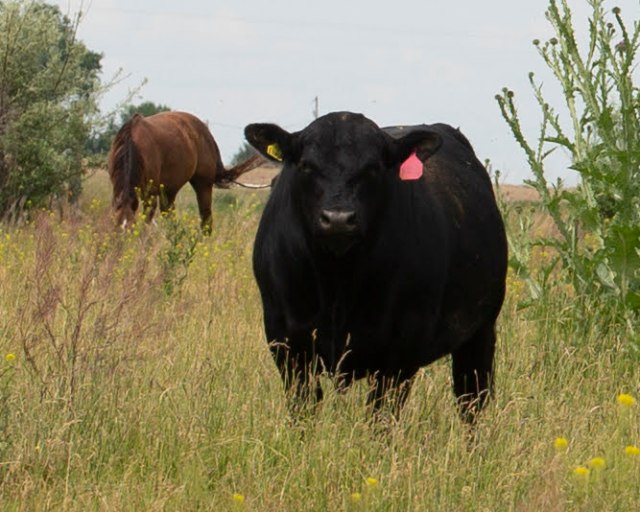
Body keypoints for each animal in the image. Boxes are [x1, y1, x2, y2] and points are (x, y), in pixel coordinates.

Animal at [244, 112, 507, 422]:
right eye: (307, 165)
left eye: (373, 168)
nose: (338, 218)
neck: (337, 282)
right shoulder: (288, 343)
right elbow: (304, 409)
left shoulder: (400, 352)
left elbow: (381, 417)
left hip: (480, 334)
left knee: (471, 402)